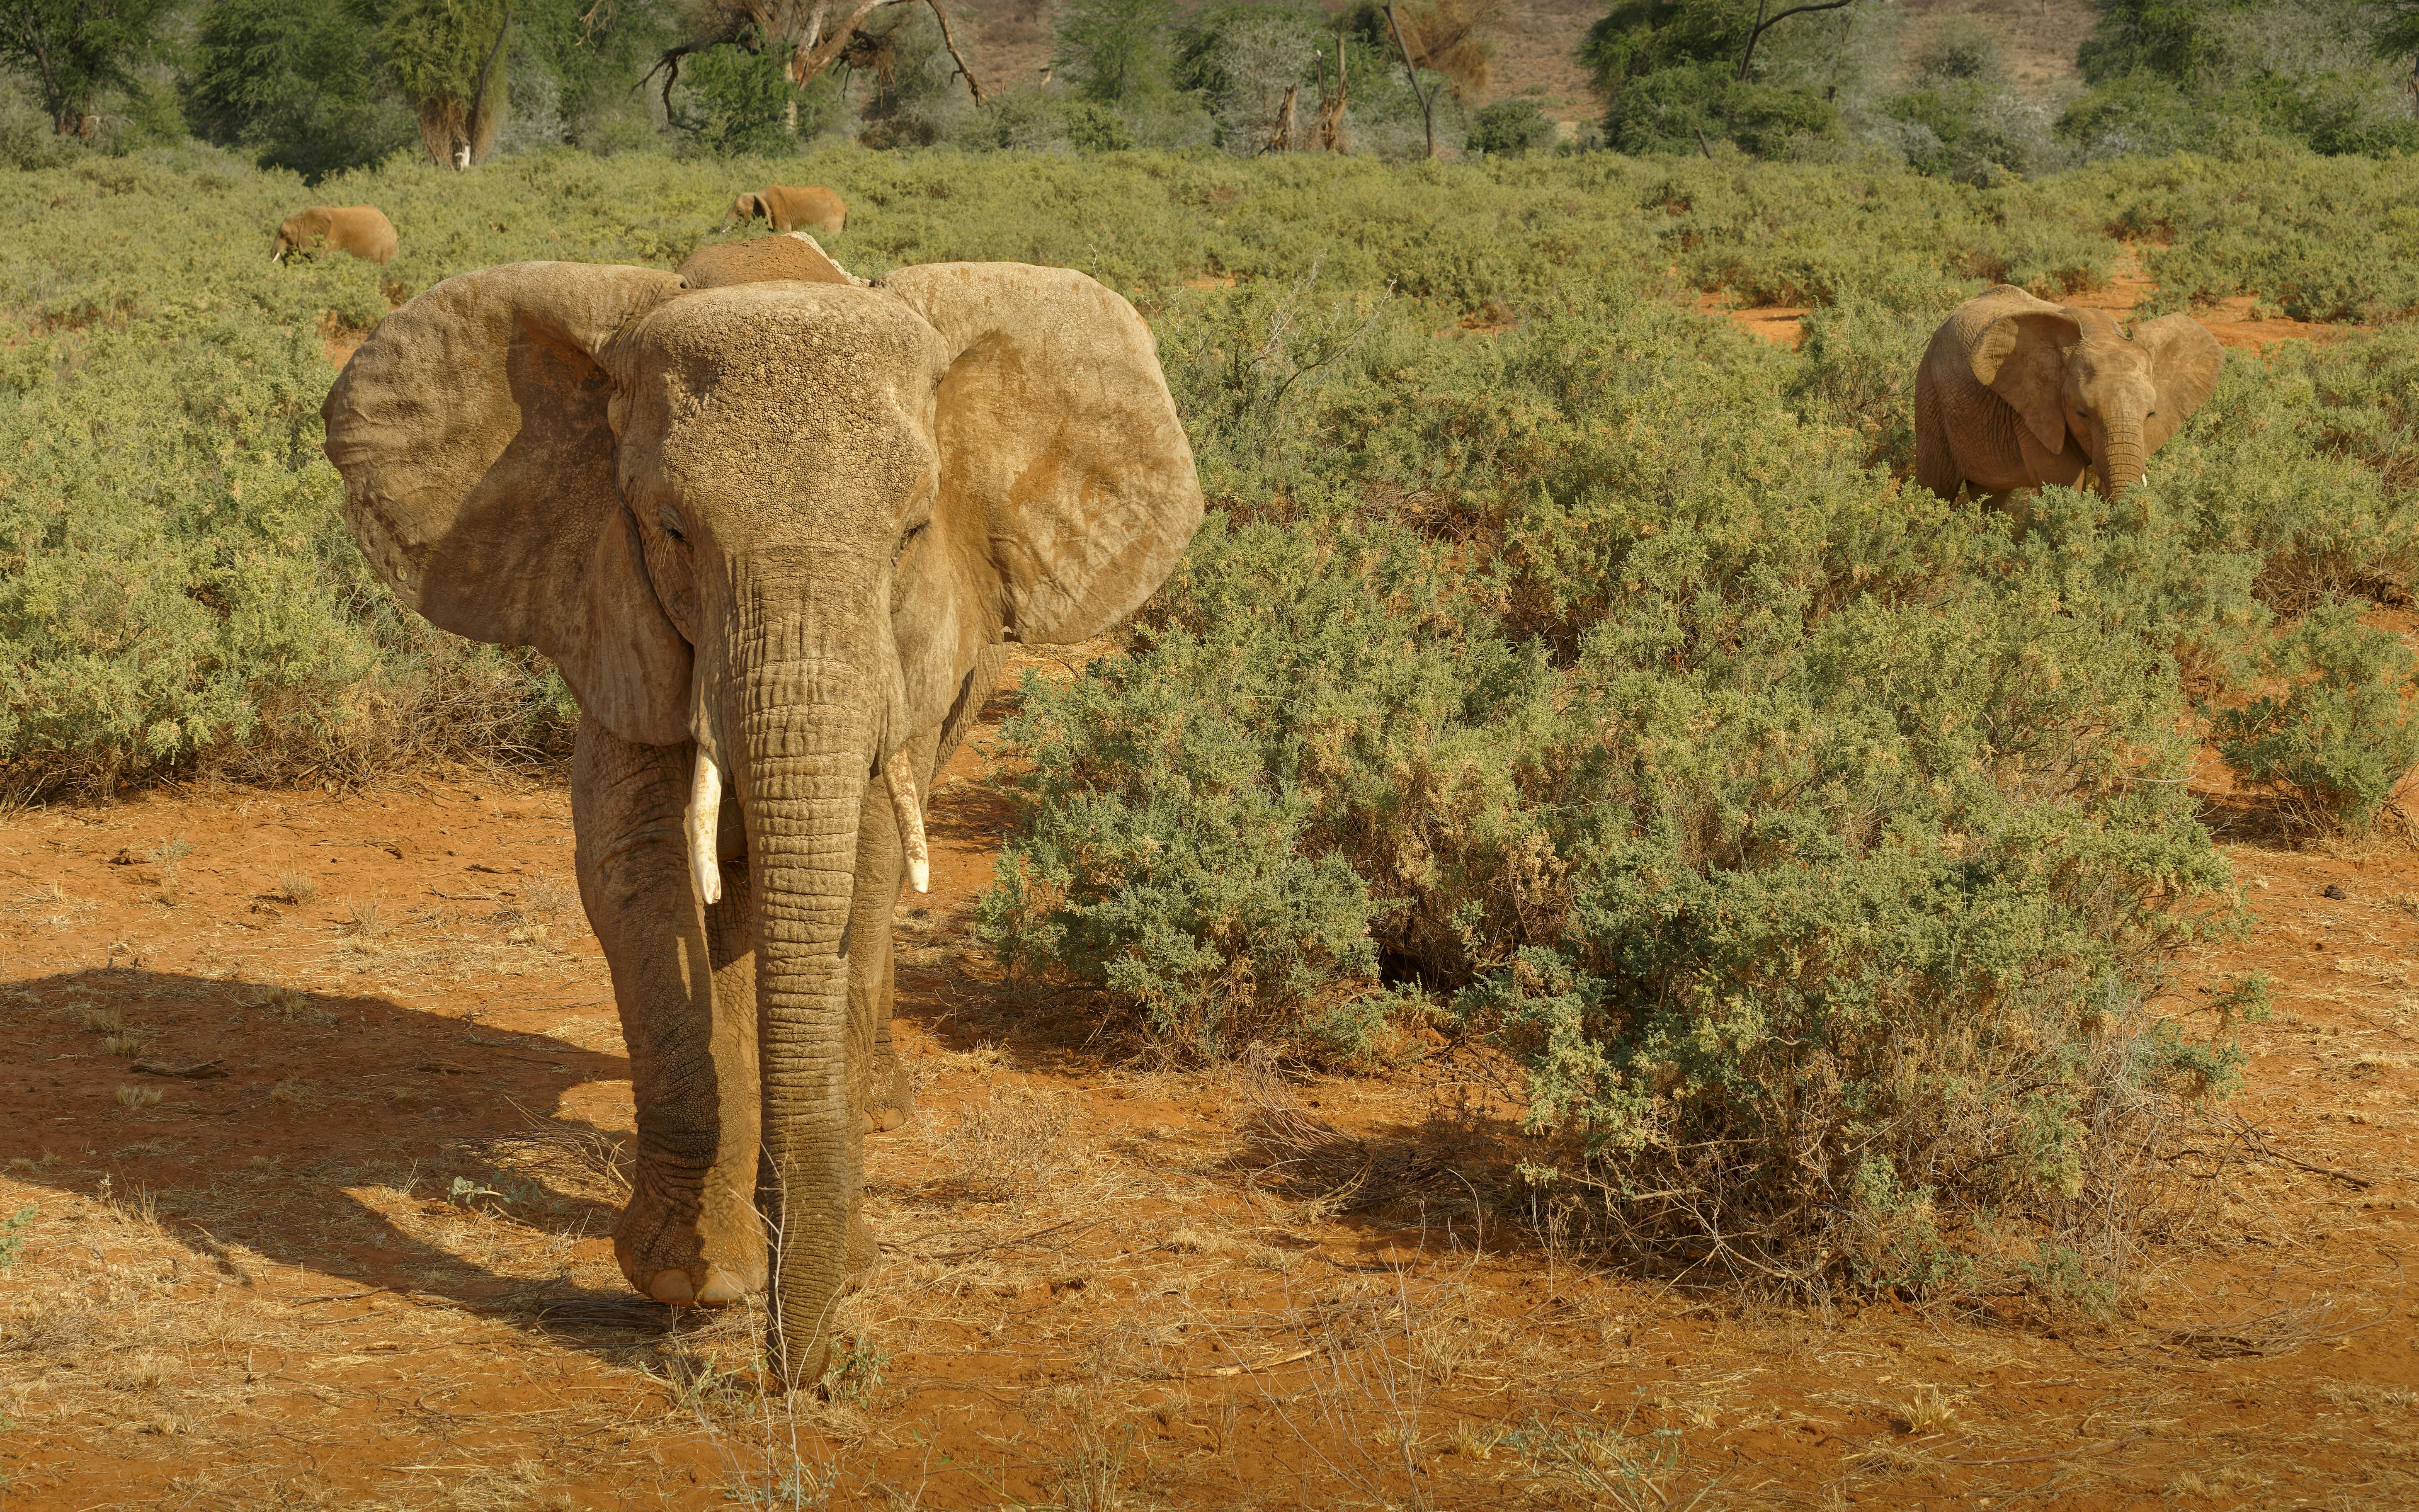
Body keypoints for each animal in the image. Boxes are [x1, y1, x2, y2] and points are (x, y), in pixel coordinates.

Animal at [318, 240, 1203, 1386]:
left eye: (913, 531)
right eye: (671, 531)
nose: (792, 1371)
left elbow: (862, 869)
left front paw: (825, 1256)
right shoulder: (615, 613)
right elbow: (636, 873)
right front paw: (694, 1279)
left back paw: (873, 1105)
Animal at [729, 185, 848, 238]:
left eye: (739, 211)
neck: (759, 193)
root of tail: (843, 205)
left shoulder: (779, 209)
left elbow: (783, 231)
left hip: (833, 220)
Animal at [1915, 285, 2223, 507]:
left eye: (2151, 415)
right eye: (2081, 414)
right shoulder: (2035, 413)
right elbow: (2064, 486)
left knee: (1990, 495)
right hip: (1930, 390)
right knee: (1936, 486)